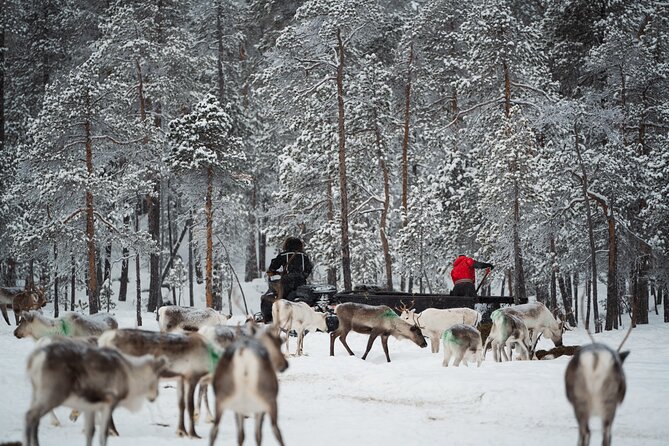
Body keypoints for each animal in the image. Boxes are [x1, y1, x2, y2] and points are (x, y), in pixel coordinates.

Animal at [24, 339, 167, 446]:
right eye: (156, 377)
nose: (155, 395)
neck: (131, 376)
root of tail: (35, 358)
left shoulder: (90, 407)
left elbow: (90, 432)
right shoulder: (108, 403)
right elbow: (103, 435)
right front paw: (113, 433)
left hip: (36, 393)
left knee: (34, 419)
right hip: (54, 393)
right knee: (31, 416)